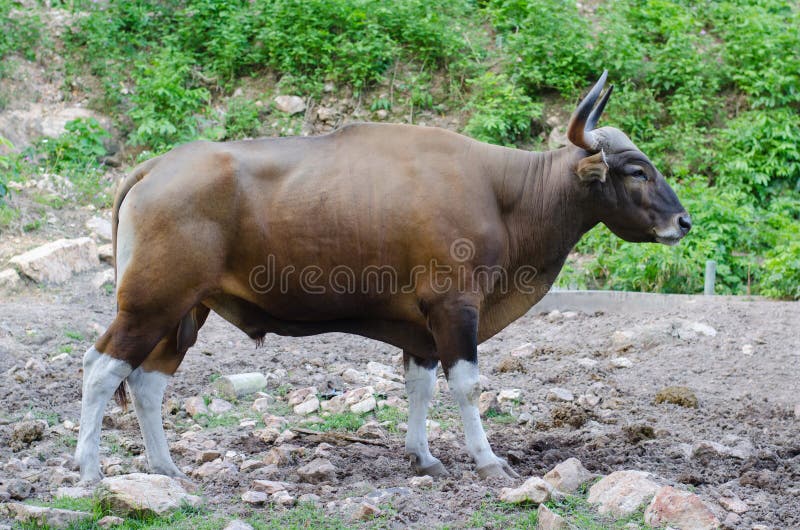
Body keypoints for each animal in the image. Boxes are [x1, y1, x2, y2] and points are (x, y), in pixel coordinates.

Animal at [75, 71, 690, 484]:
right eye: (637, 170)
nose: (683, 221)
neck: (504, 195)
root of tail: (155, 166)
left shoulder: (419, 326)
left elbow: (419, 384)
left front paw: (424, 456)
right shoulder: (455, 307)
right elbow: (467, 385)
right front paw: (489, 461)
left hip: (186, 309)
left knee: (148, 381)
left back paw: (166, 469)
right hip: (151, 302)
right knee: (101, 367)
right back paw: (89, 470)